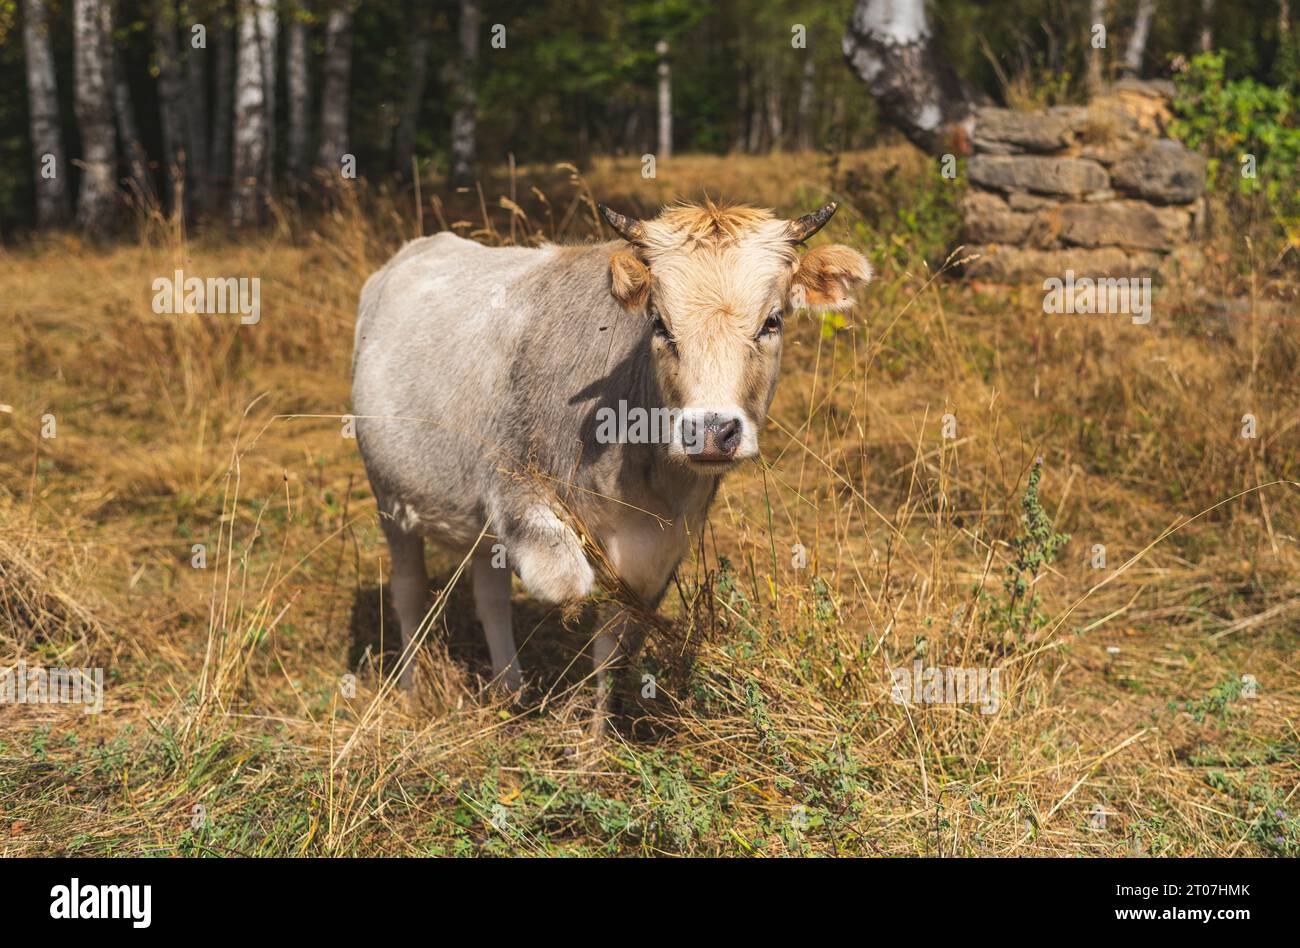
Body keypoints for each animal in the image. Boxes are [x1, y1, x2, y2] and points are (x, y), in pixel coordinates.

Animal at [351, 200, 871, 723]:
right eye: (659, 324)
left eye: (772, 321)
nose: (710, 432)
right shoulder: (517, 489)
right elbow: (573, 585)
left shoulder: (663, 544)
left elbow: (613, 642)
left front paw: (599, 734)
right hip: (389, 497)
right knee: (409, 590)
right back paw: (413, 689)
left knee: (489, 594)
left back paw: (509, 691)